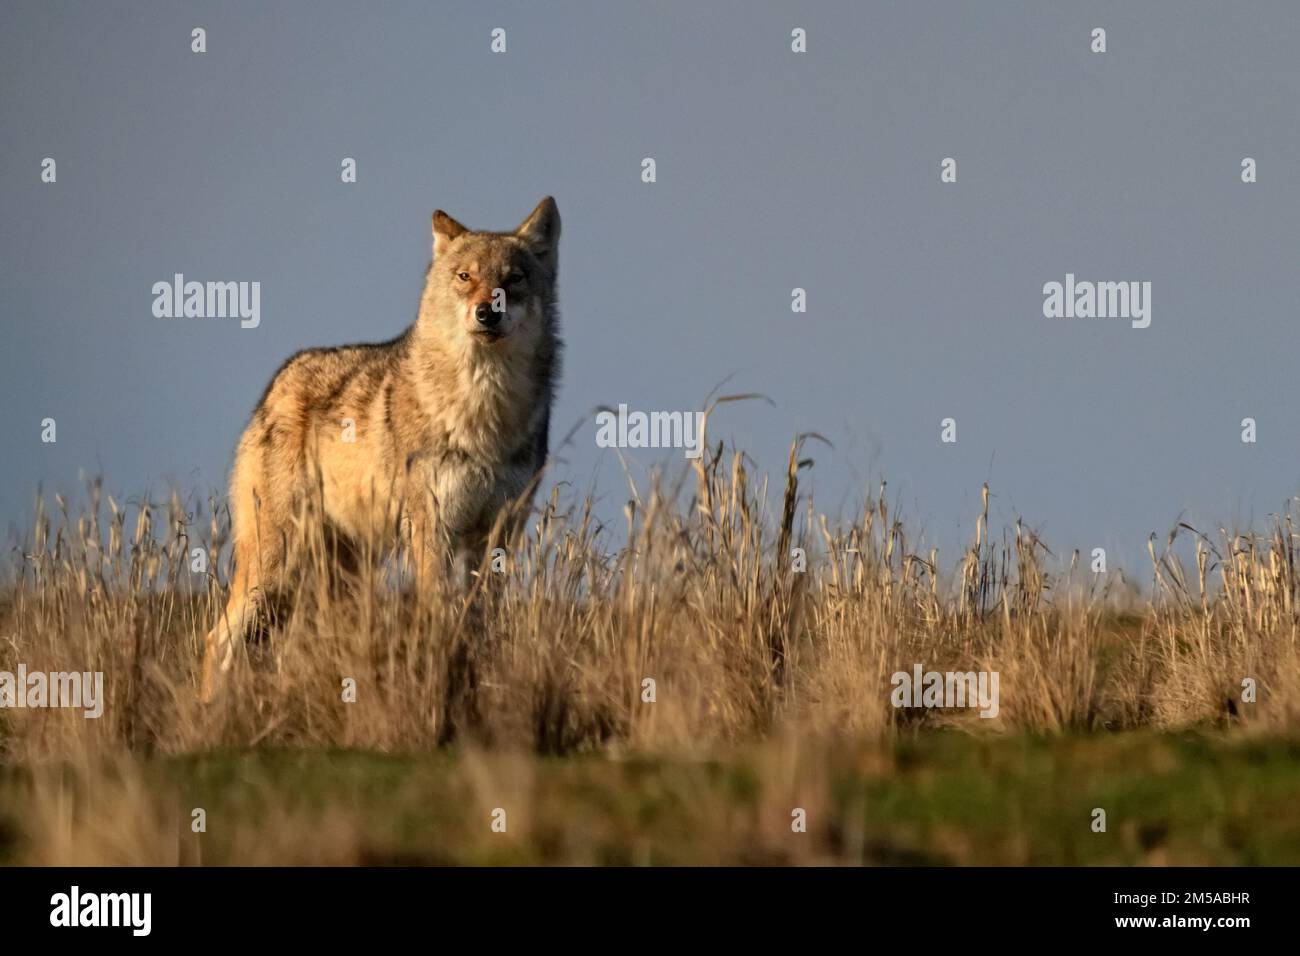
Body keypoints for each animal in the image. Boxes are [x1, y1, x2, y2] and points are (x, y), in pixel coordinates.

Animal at [200, 198, 561, 701]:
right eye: (465, 277)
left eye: (514, 279)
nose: (487, 313)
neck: (485, 408)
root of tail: (274, 386)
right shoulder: (431, 527)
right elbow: (439, 613)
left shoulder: (498, 532)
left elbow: (481, 618)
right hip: (277, 566)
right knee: (217, 638)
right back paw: (207, 712)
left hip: (338, 571)